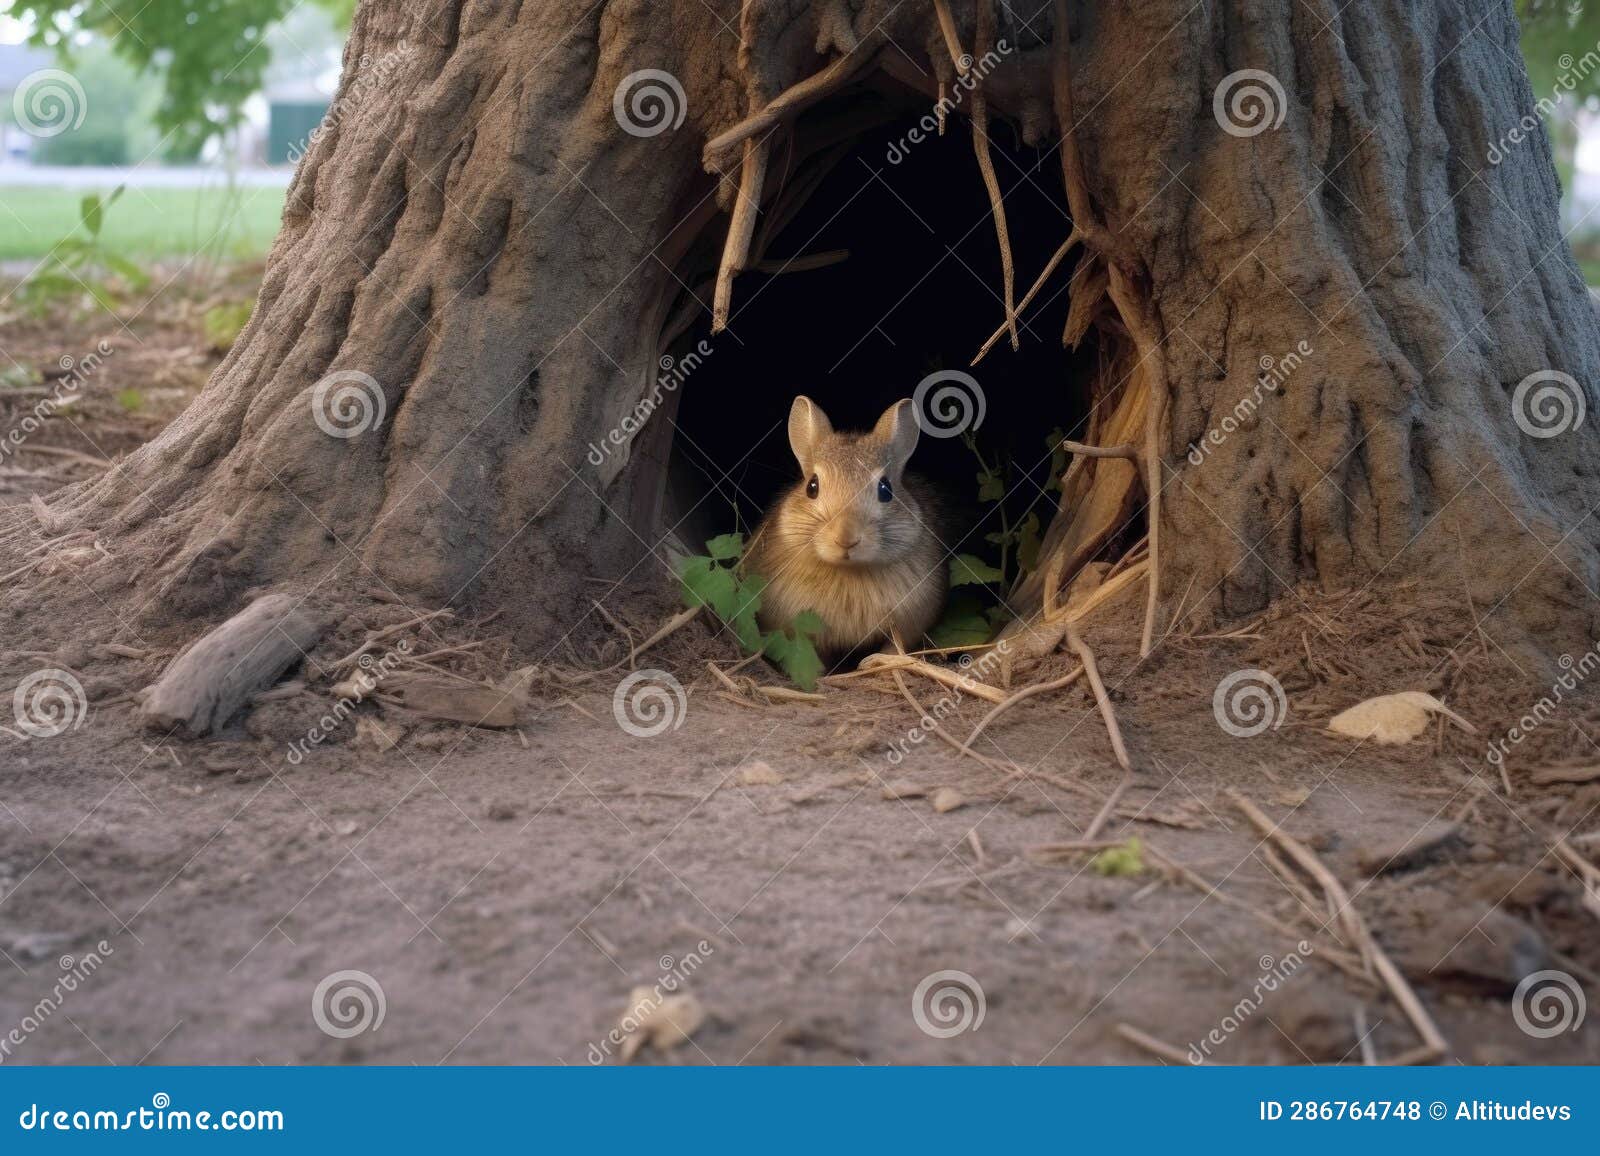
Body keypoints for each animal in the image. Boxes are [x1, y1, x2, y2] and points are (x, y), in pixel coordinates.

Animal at [745, 395, 948, 660]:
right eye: (812, 486)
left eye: (886, 489)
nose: (846, 539)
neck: (848, 570)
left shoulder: (910, 620)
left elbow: (895, 646)